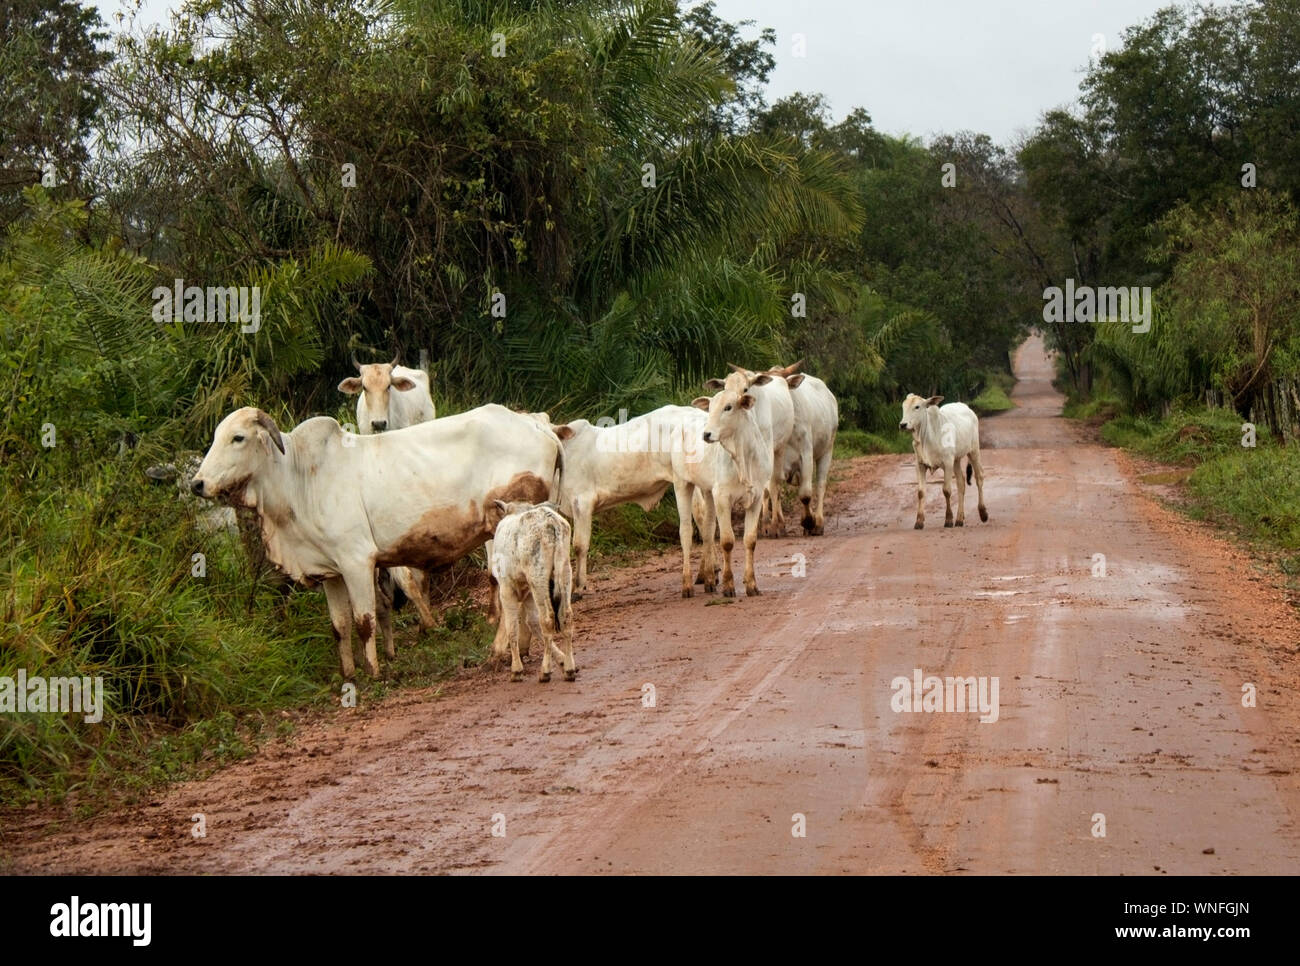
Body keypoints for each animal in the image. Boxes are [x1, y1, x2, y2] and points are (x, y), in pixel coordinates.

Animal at [190, 404, 564, 679]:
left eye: (238, 438)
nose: (197, 483)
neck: (298, 479)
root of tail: (538, 425)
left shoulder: (357, 562)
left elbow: (364, 622)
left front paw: (373, 671)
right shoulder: (331, 572)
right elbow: (339, 626)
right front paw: (348, 674)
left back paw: (502, 650)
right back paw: (521, 647)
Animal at [489, 500, 577, 683]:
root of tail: (551, 521)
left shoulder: (506, 589)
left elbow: (512, 627)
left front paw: (516, 670)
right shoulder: (528, 592)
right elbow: (532, 623)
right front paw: (561, 660)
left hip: (538, 576)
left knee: (548, 619)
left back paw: (545, 671)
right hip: (564, 571)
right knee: (565, 616)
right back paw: (569, 668)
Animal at [898, 394, 988, 529]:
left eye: (917, 407)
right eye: (903, 406)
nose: (903, 424)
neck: (926, 437)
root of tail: (967, 408)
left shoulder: (947, 463)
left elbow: (946, 490)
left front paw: (948, 519)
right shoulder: (920, 465)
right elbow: (921, 492)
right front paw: (919, 521)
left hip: (973, 450)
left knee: (979, 477)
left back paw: (983, 513)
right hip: (956, 460)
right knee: (961, 483)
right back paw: (959, 519)